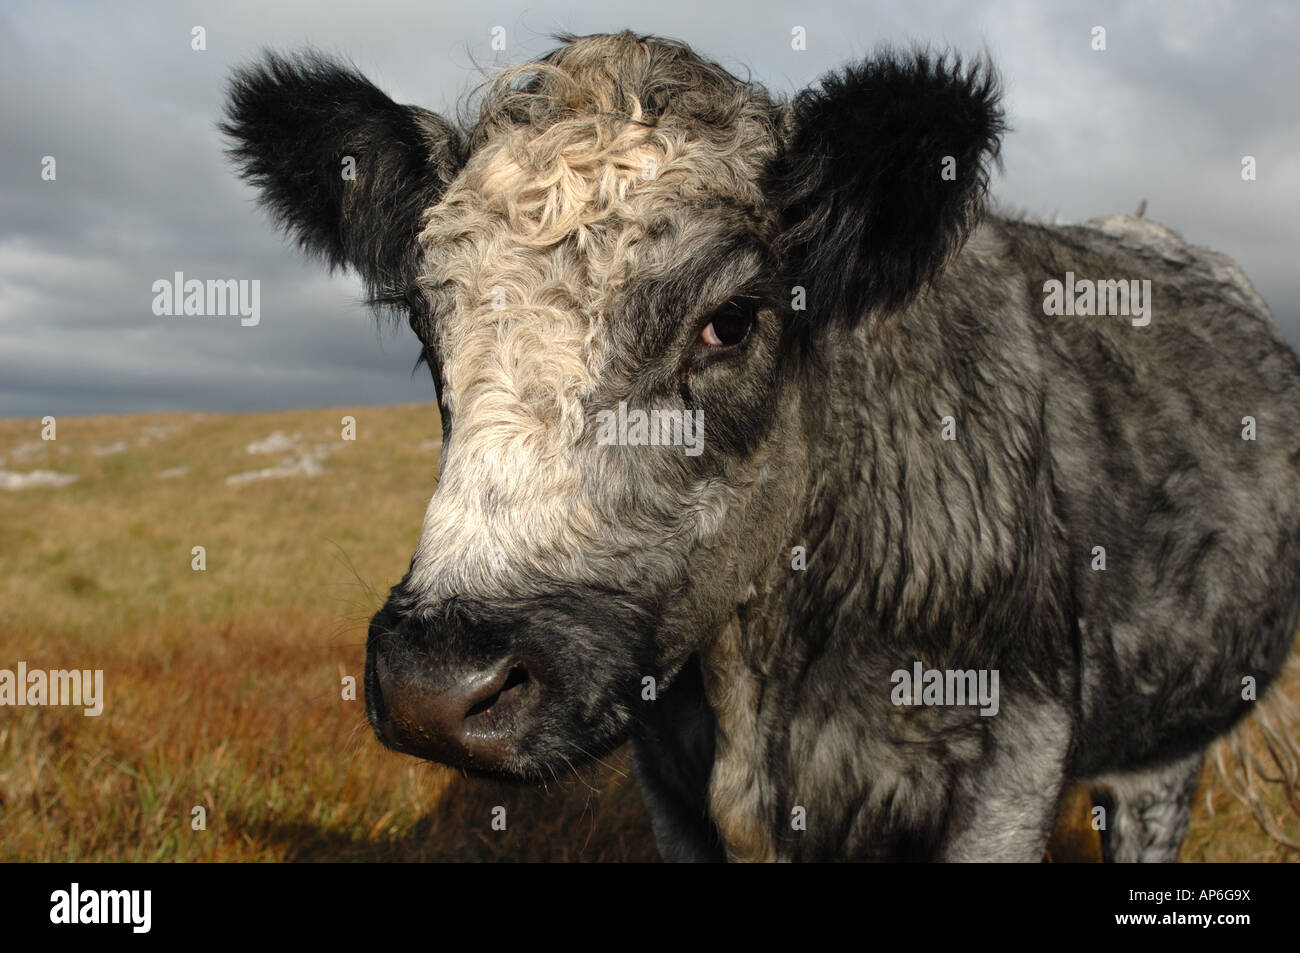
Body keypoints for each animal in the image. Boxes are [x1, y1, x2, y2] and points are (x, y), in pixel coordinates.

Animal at [223, 31, 1300, 861]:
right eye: (422, 320)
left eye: (730, 320)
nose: (437, 684)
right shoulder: (669, 777)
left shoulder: (1015, 750)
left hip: (1169, 738)